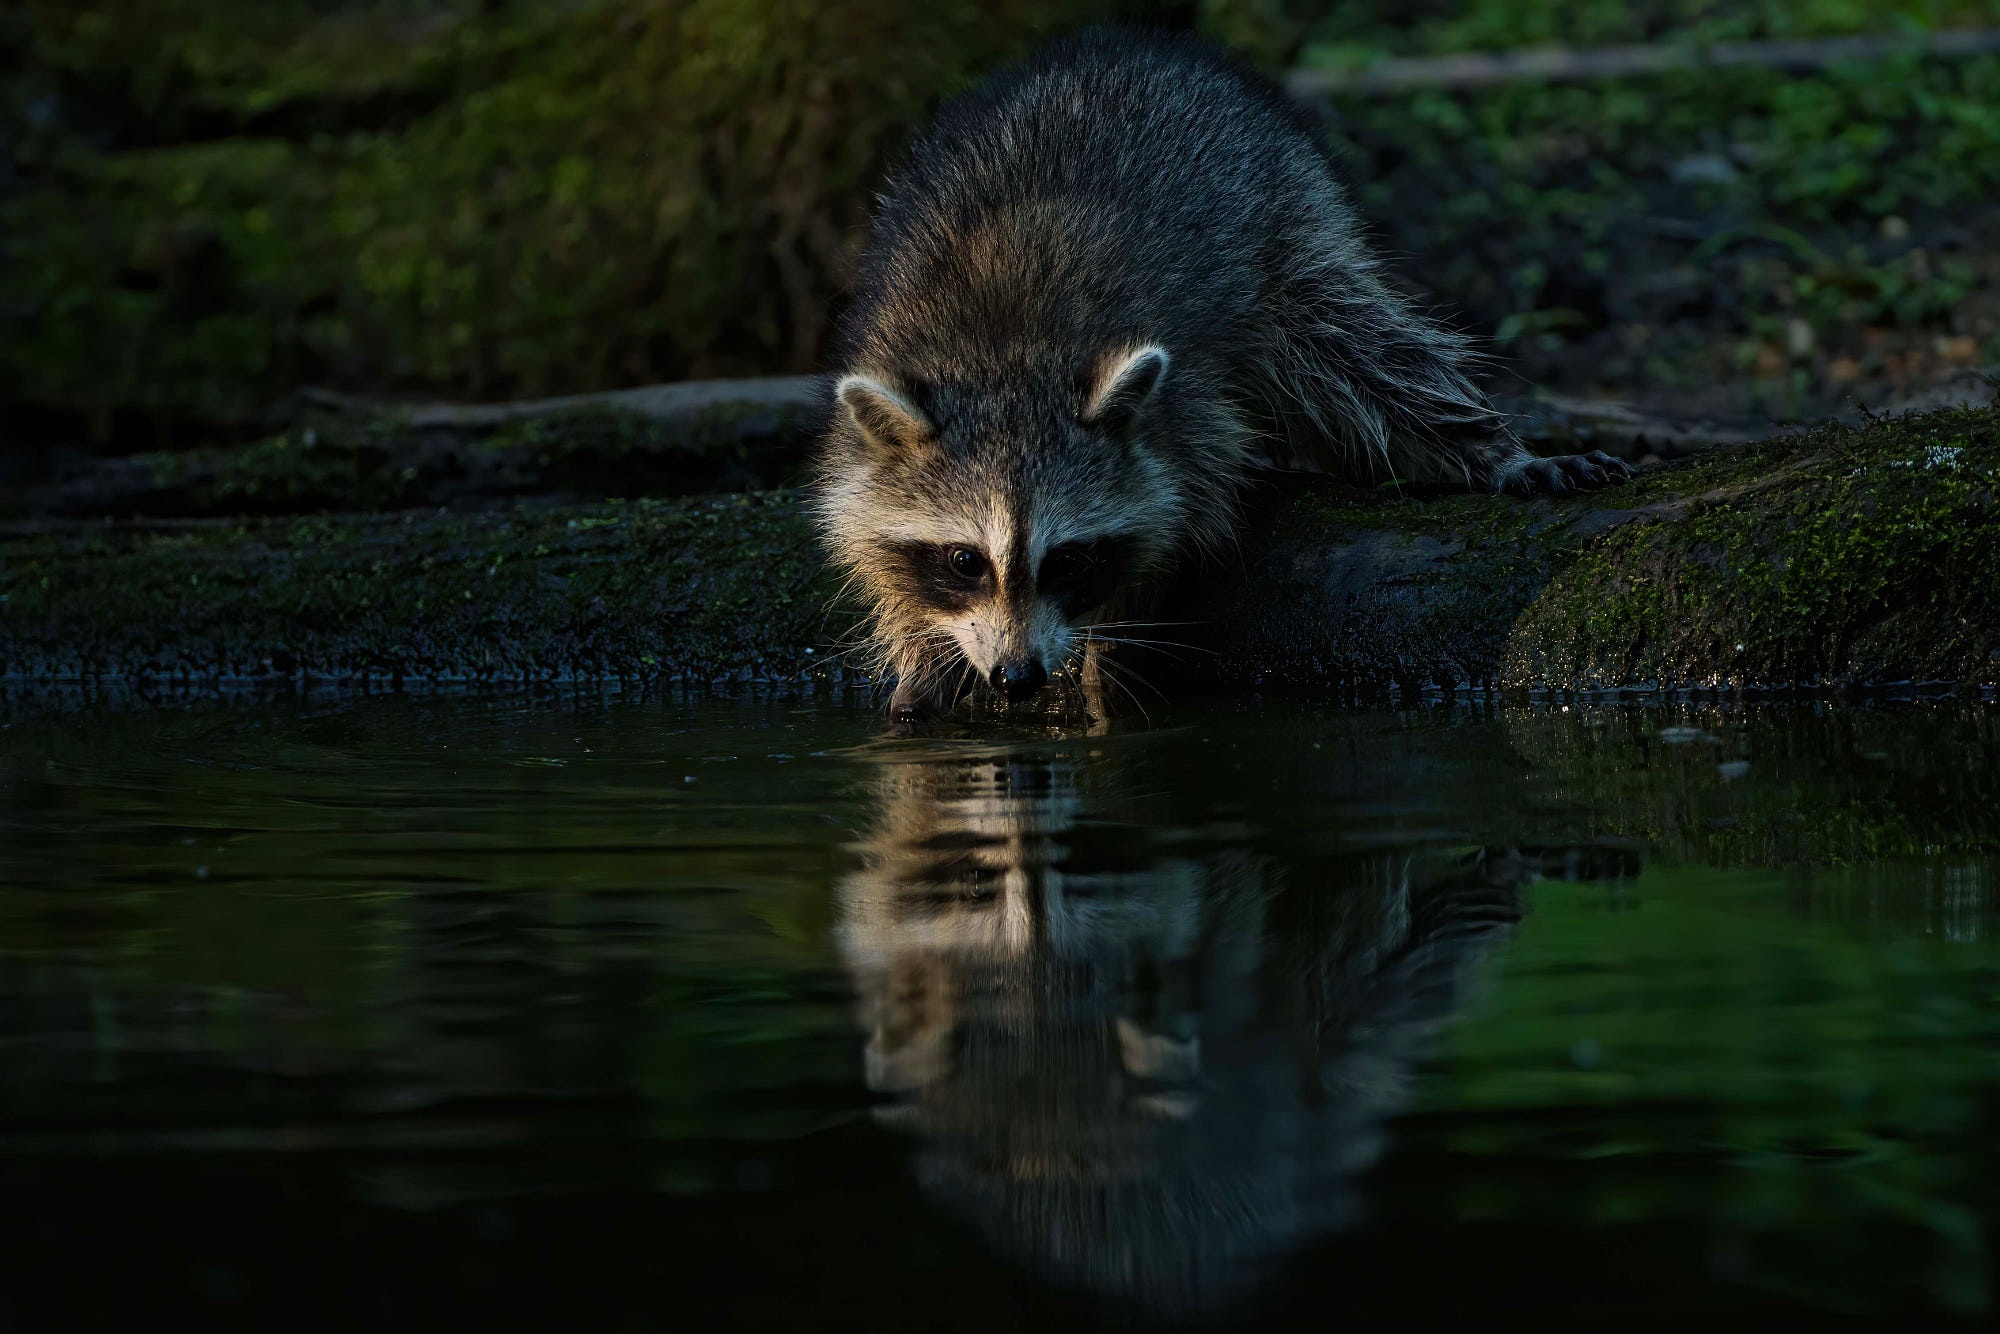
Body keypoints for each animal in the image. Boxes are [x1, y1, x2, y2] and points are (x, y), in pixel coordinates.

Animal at [811, 28, 1628, 724]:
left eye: (1068, 558)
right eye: (964, 560)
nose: (1017, 677)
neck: (1008, 365)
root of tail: (1130, 45)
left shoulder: (1184, 414)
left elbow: (1180, 522)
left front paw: (1109, 657)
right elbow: (872, 544)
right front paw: (921, 653)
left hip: (1283, 223)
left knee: (1359, 348)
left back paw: (1484, 446)